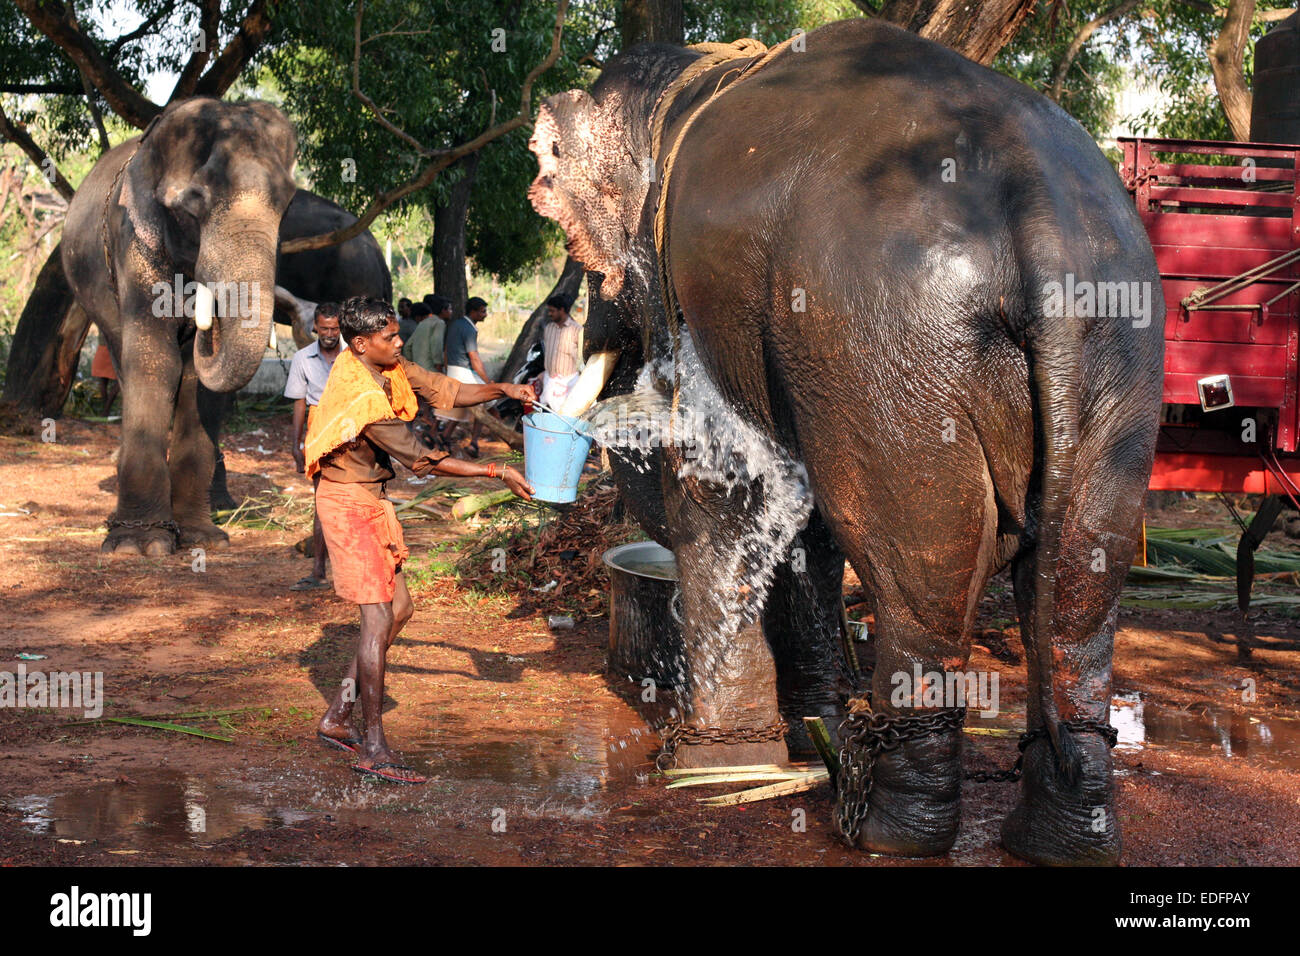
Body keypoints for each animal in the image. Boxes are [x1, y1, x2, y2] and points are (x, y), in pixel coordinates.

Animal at [61, 97, 298, 554]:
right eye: (194, 202)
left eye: (287, 204)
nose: (202, 327)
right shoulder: (133, 239)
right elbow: (157, 361)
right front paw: (140, 546)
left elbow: (196, 384)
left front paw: (202, 538)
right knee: (123, 359)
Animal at [527, 19, 1164, 865]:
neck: (693, 70)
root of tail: (1040, 213)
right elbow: (804, 528)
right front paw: (803, 735)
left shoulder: (690, 290)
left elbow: (724, 493)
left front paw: (713, 766)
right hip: (1117, 339)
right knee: (1079, 568)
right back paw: (1061, 837)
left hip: (886, 337)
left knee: (920, 558)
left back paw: (884, 828)